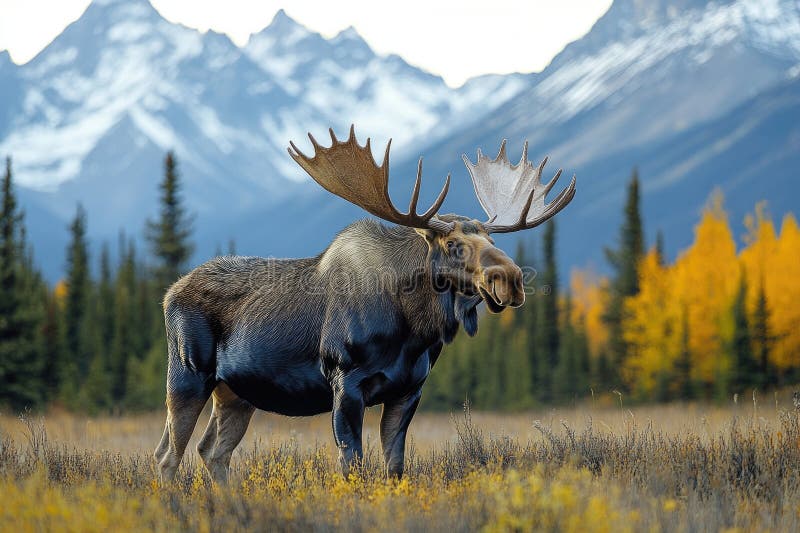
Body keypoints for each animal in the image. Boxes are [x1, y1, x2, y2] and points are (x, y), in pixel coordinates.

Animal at [154, 125, 576, 483]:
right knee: (168, 455)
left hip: (236, 393)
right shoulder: (345, 382)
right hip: (188, 375)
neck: (412, 333)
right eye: (454, 244)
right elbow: (352, 465)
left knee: (212, 451)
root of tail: (169, 293)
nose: (512, 279)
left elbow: (395, 467)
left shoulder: (409, 390)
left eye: (492, 240)